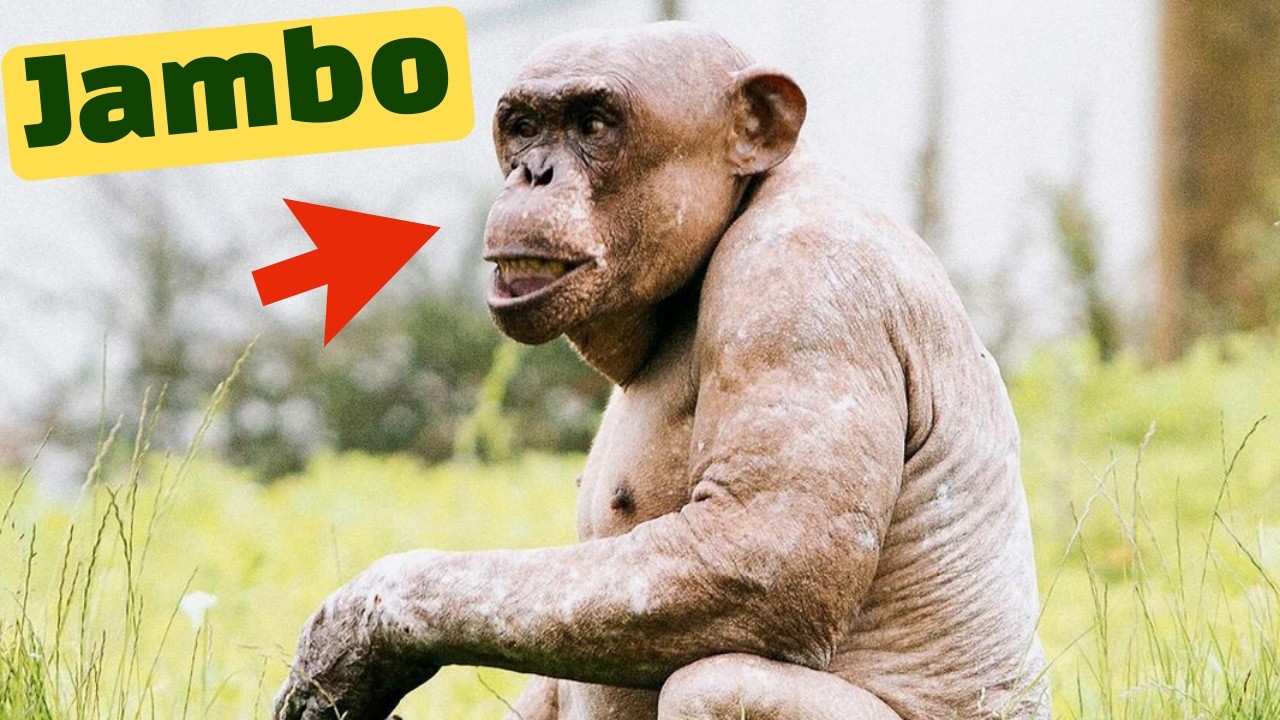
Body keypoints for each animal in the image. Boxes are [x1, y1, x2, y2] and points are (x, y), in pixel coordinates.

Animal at [273, 22, 1050, 720]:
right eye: (524, 126)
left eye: (592, 123)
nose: (533, 172)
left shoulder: (796, 291)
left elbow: (764, 556)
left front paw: (361, 626)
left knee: (718, 685)